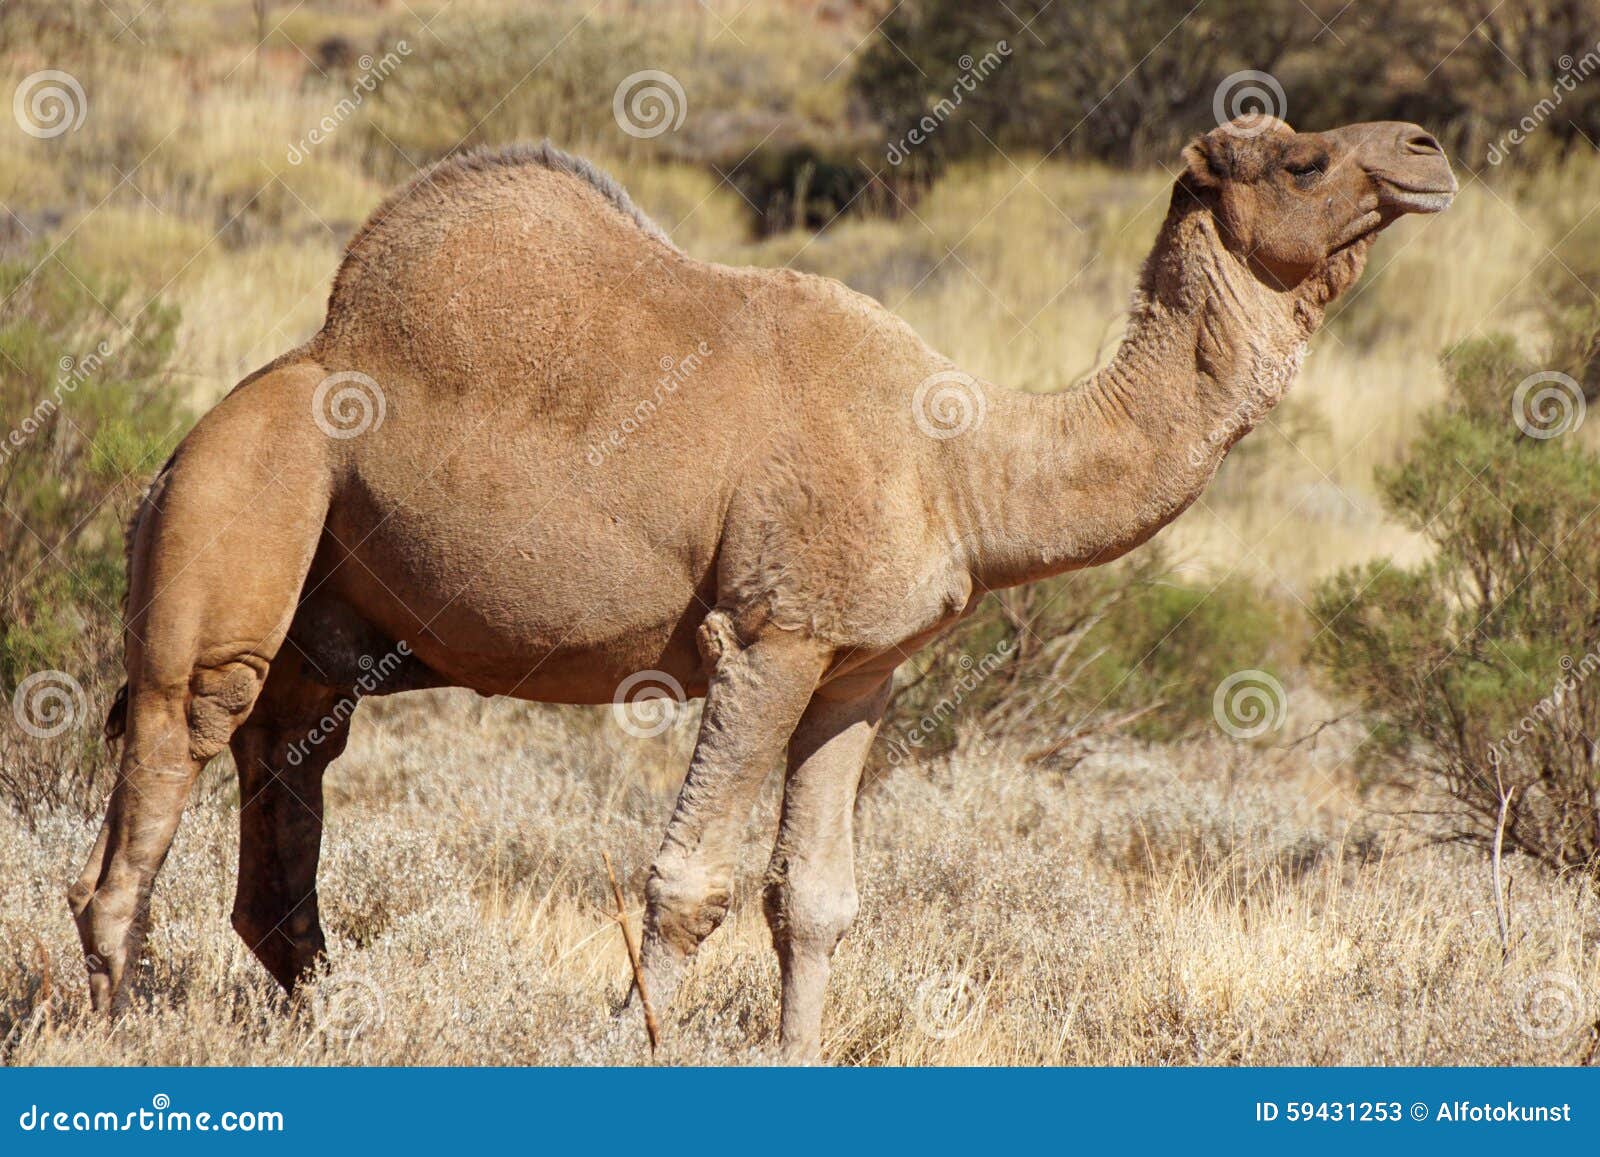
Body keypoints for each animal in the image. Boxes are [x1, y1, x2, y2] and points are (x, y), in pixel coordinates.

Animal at [68, 117, 1454, 1061]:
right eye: (1299, 161)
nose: (1427, 150)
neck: (960, 463)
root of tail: (189, 436)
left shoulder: (861, 668)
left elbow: (816, 898)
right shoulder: (769, 637)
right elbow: (690, 883)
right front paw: (626, 1044)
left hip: (329, 629)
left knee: (284, 804)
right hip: (238, 509)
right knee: (169, 757)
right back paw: (118, 1028)